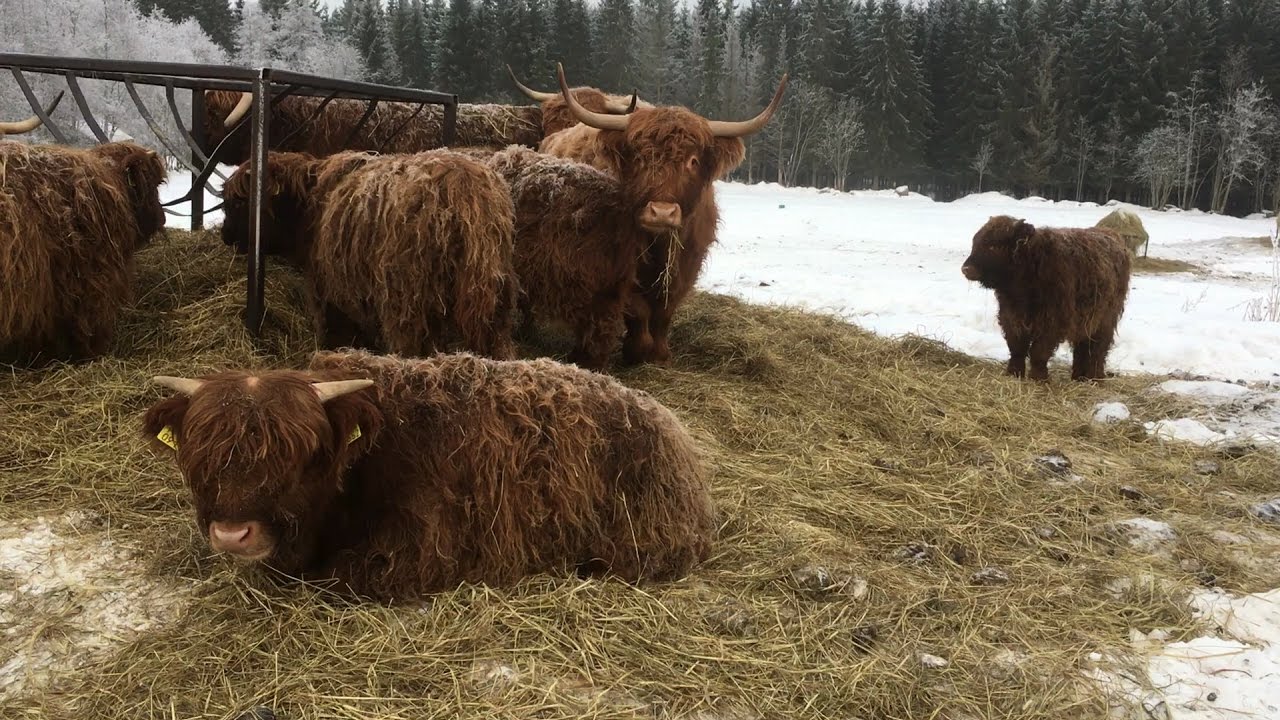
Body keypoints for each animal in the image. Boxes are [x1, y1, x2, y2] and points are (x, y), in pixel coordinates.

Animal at [219, 149, 517, 360]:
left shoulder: (330, 299)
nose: (225, 235)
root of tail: (463, 189)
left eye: (240, 202)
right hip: (493, 304)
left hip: (410, 305)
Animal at [539, 64, 788, 366]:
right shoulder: (618, 269)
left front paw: (660, 352)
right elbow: (639, 310)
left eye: (692, 161)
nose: (662, 212)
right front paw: (637, 350)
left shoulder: (688, 264)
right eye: (639, 158)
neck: (660, 245)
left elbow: (665, 312)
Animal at [961, 215, 1132, 382]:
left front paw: (1038, 378)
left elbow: (1039, 352)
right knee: (1082, 348)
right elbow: (1016, 348)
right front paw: (1014, 373)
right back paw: (1078, 377)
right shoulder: (1010, 317)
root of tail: (1112, 234)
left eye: (993, 245)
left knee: (1098, 349)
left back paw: (1095, 377)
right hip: (1086, 321)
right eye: (975, 241)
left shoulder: (1051, 321)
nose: (966, 269)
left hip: (1105, 319)